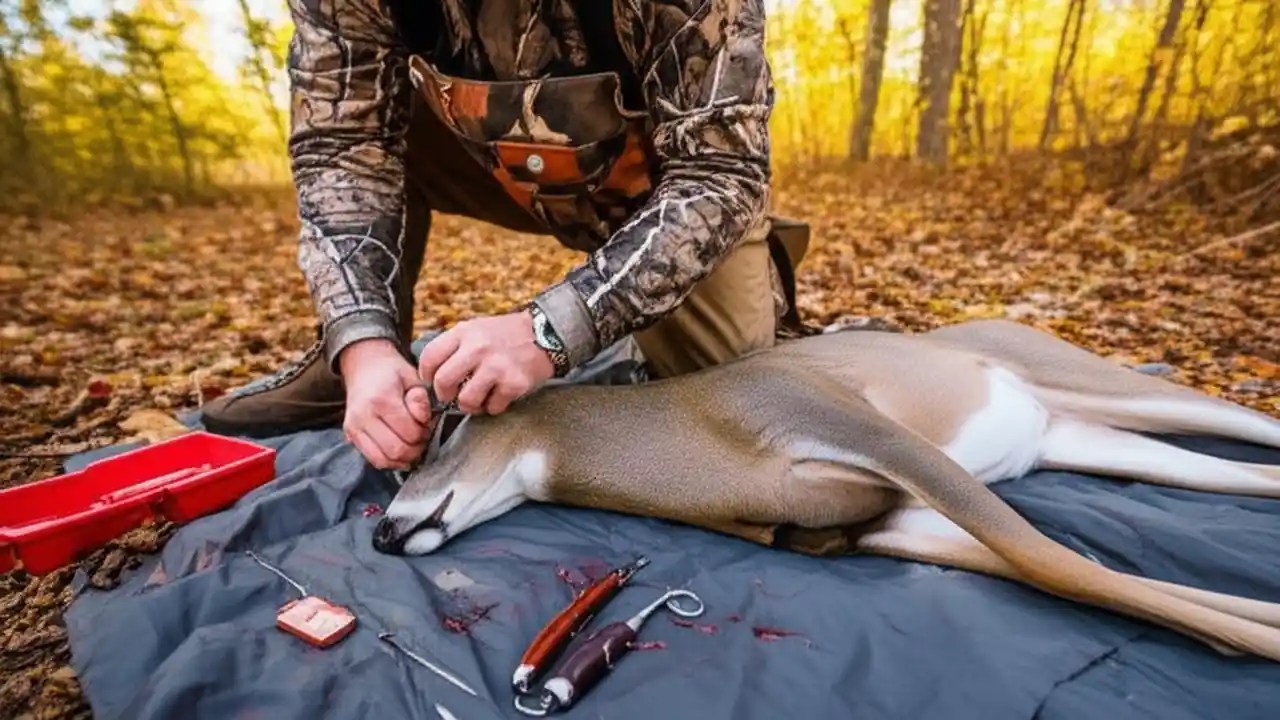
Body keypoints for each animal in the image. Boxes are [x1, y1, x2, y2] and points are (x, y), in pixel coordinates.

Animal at [371, 319, 1280, 662]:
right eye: (393, 464)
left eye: (452, 418)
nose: (382, 532)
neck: (702, 442)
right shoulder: (876, 526)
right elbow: (1086, 574)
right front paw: (1250, 628)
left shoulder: (851, 422)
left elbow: (1062, 565)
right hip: (1076, 432)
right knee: (1255, 475)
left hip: (1091, 380)